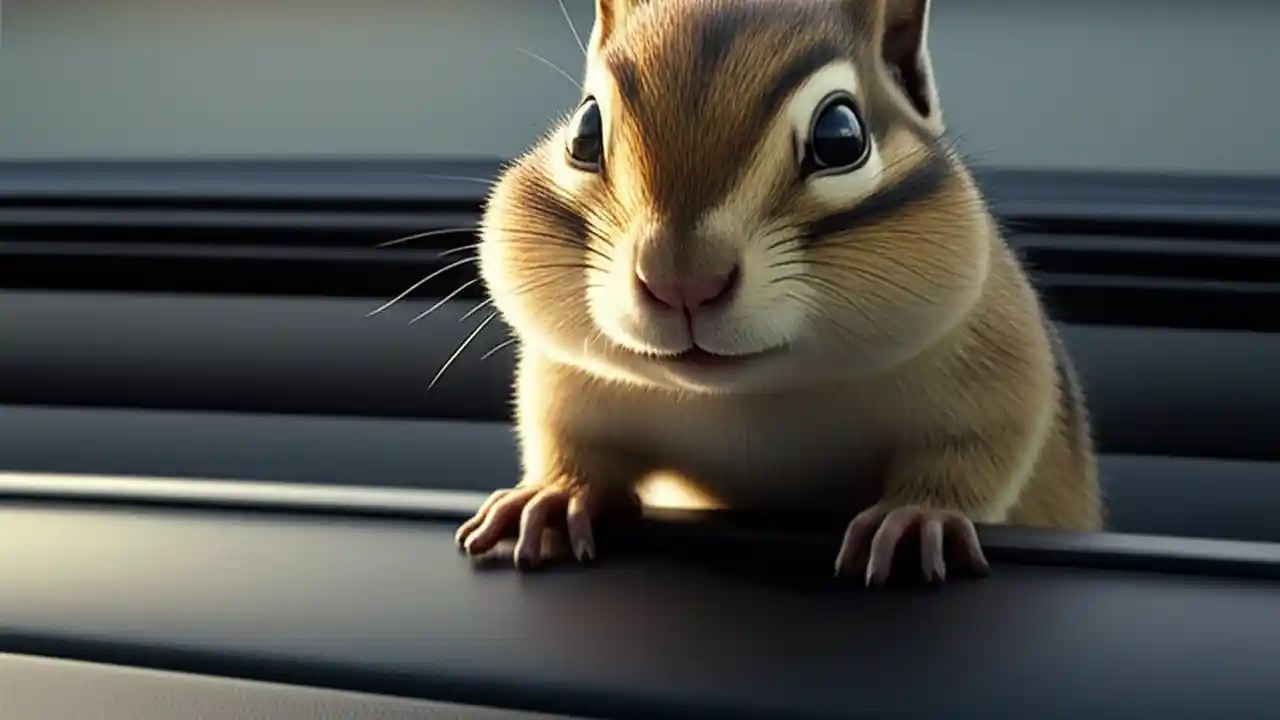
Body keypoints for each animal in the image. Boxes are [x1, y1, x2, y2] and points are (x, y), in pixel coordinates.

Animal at [455, 0, 1102, 586]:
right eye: (584, 132)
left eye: (840, 137)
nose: (682, 280)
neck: (753, 395)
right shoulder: (568, 383)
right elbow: (570, 442)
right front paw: (552, 495)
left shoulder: (998, 366)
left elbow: (977, 452)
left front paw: (920, 517)